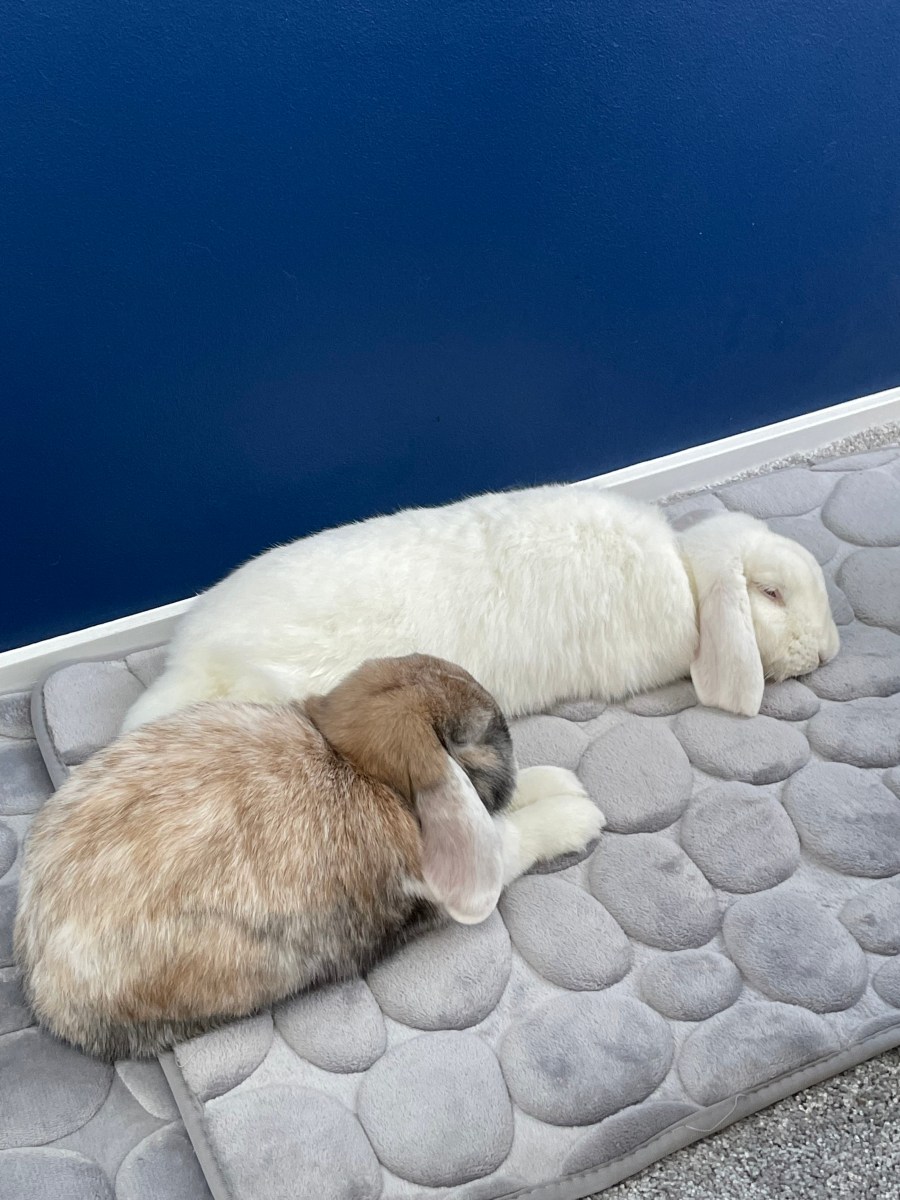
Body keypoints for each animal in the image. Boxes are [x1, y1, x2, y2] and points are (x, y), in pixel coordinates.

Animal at [15, 653, 603, 1060]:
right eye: (479, 736)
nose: (511, 754)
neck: (365, 770)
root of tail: (42, 984)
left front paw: (559, 781)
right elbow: (514, 837)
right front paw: (580, 814)